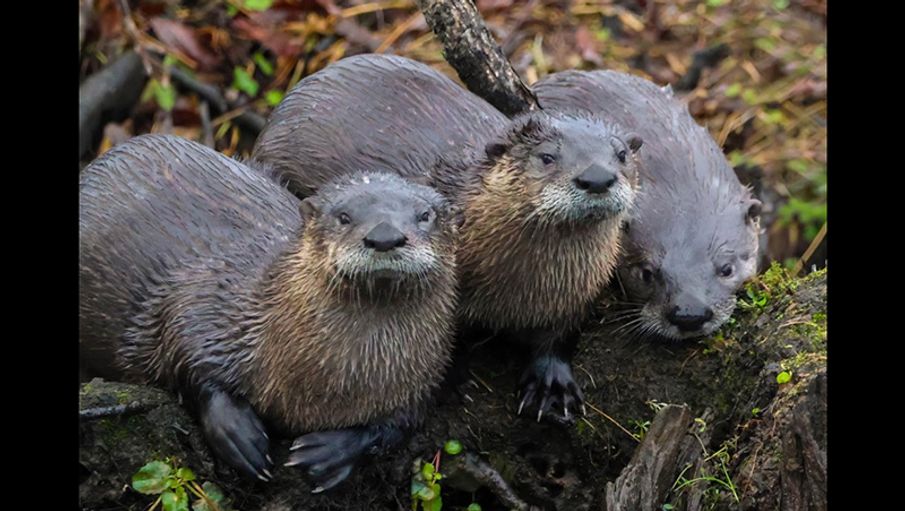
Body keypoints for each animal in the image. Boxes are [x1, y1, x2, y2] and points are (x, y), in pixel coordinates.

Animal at [79, 134, 461, 491]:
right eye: (343, 217)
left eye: (425, 215)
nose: (385, 236)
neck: (335, 381)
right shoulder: (208, 303)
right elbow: (186, 352)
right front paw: (237, 435)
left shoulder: (420, 382)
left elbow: (399, 425)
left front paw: (333, 452)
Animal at [251, 54, 643, 421]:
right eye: (547, 157)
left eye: (621, 155)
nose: (597, 177)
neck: (524, 288)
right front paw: (451, 382)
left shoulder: (580, 291)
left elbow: (562, 335)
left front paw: (551, 384)